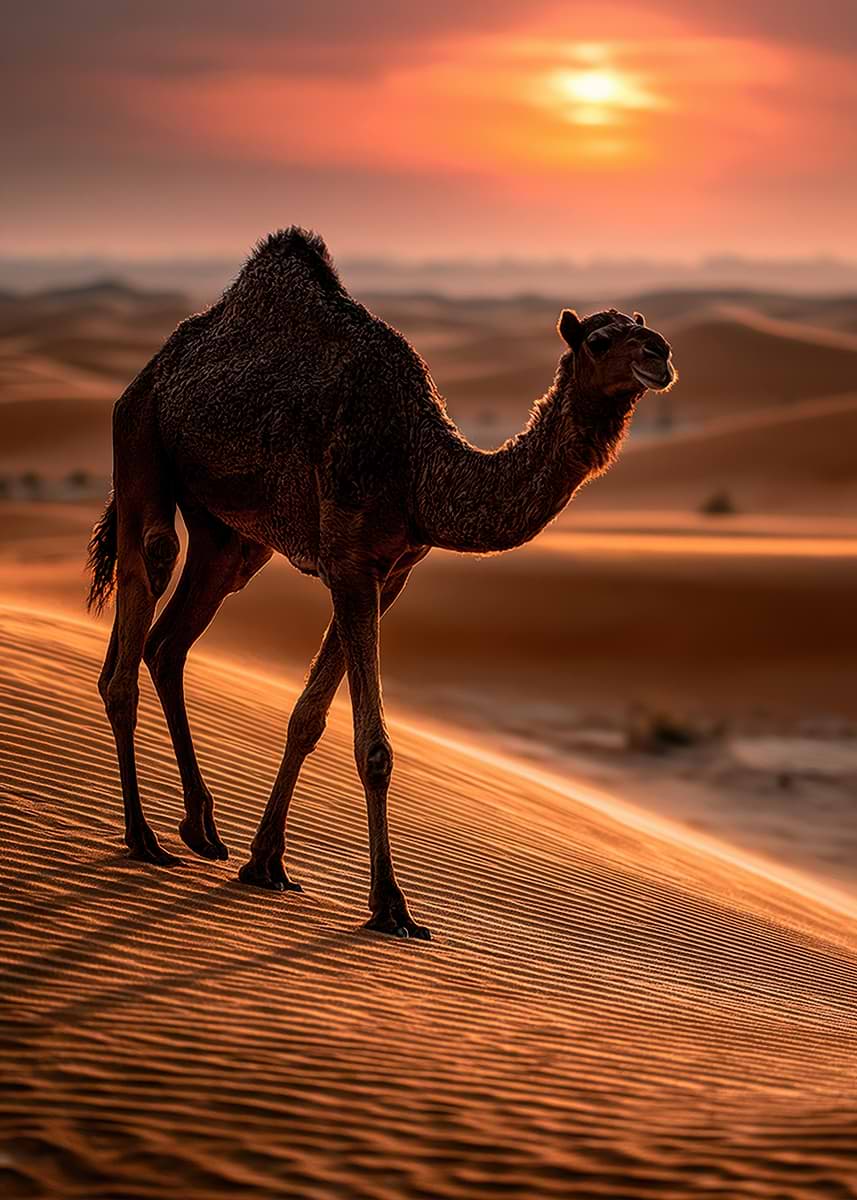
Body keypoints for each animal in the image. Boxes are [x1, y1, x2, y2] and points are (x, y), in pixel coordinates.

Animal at [87, 227, 676, 940]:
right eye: (599, 339)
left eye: (641, 326)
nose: (660, 352)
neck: (419, 467)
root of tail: (149, 370)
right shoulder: (348, 560)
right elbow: (373, 746)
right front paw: (390, 905)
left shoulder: (389, 574)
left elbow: (307, 718)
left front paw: (265, 863)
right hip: (140, 439)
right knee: (144, 588)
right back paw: (143, 837)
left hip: (231, 536)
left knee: (169, 641)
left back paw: (202, 830)